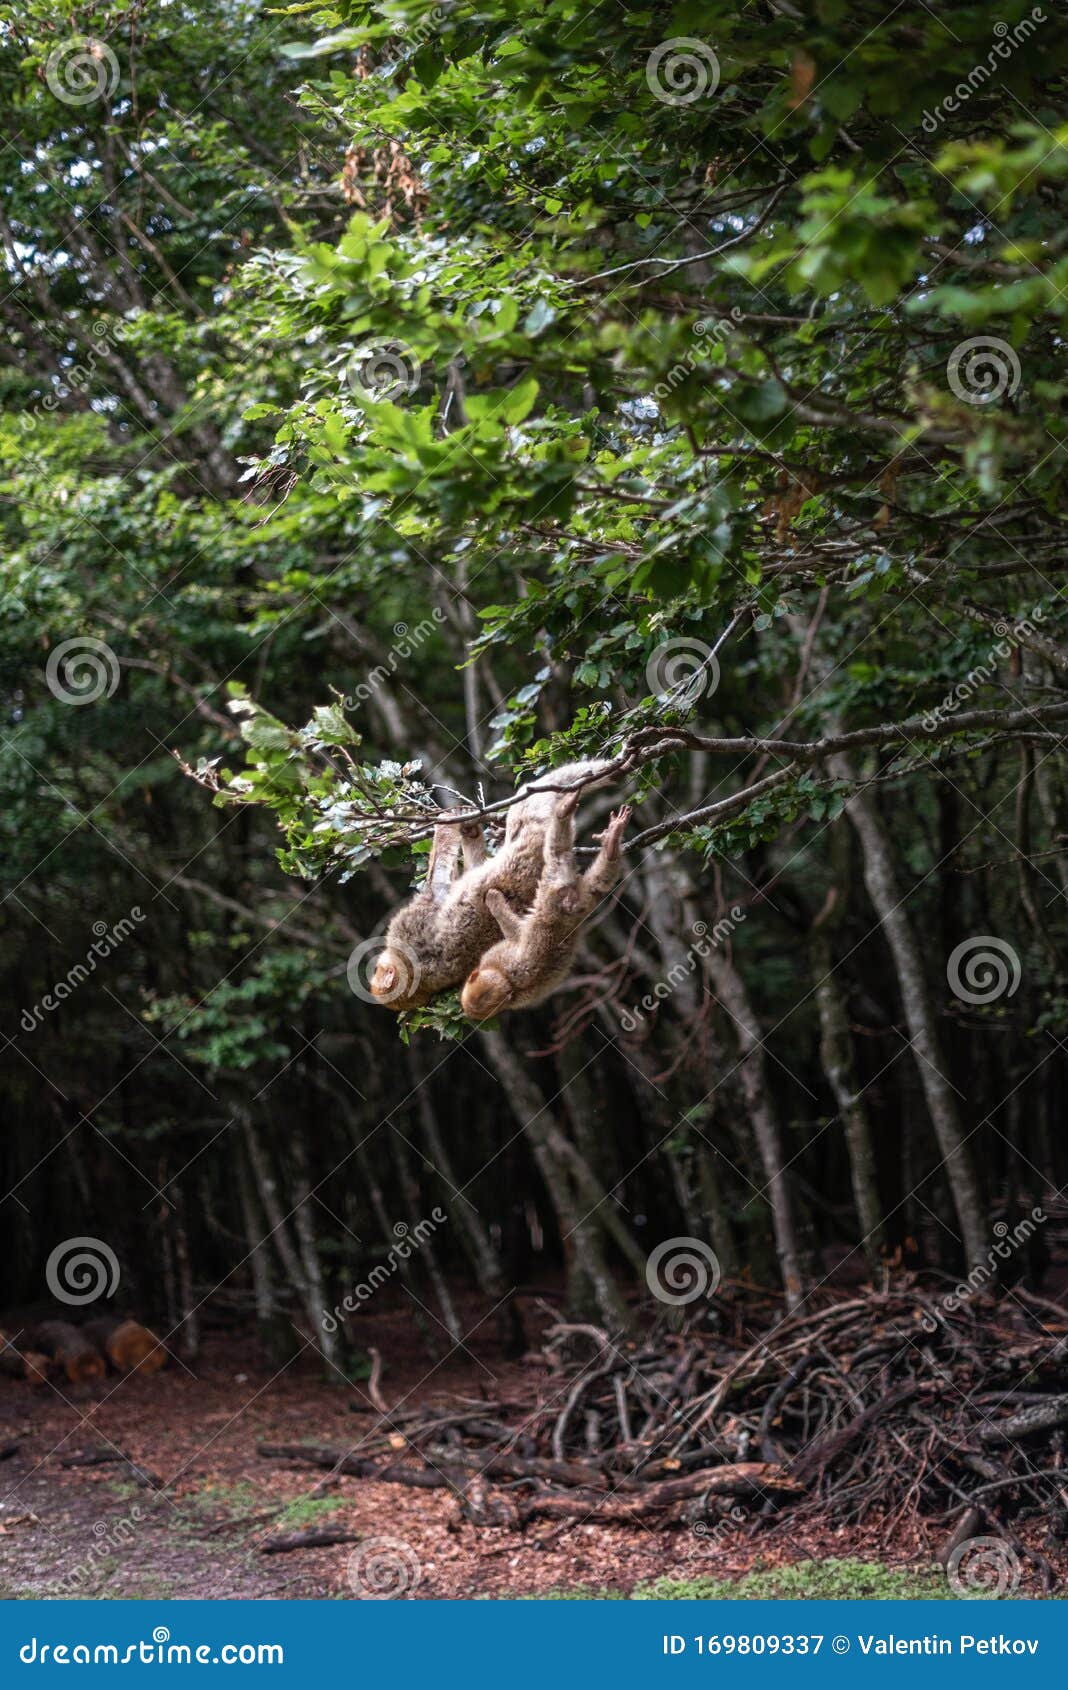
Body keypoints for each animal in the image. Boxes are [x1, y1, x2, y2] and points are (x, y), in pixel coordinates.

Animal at [369, 759, 612, 1011]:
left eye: (377, 970)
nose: (375, 969)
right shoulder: (408, 928)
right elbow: (438, 889)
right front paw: (451, 829)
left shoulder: (405, 928)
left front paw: (457, 829)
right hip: (529, 846)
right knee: (529, 807)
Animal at [460, 793, 631, 1020]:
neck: (509, 985)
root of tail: (568, 904)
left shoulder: (498, 957)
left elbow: (516, 933)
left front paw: (493, 899)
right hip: (570, 901)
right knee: (594, 880)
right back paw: (609, 846)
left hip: (551, 897)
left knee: (554, 855)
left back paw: (564, 812)